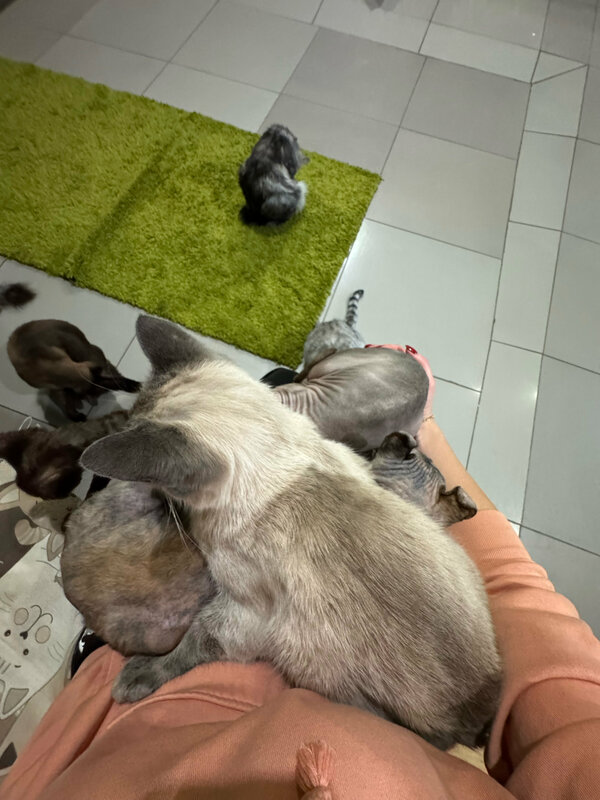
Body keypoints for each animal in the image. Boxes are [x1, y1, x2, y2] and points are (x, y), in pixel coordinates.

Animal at [80, 315, 501, 751]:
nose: (102, 482)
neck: (288, 471)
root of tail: (476, 726)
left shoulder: (242, 615)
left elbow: (191, 644)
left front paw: (136, 677)